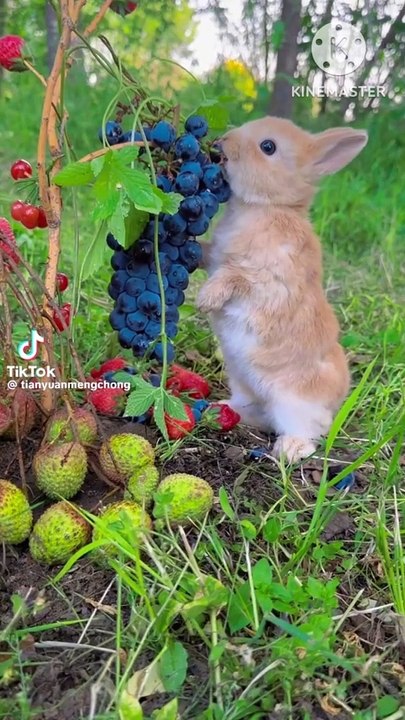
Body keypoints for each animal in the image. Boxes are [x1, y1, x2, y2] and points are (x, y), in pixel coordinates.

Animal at [197, 116, 368, 463]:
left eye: (268, 147)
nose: (220, 145)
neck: (267, 207)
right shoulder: (215, 256)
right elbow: (207, 254)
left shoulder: (269, 278)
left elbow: (233, 277)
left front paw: (206, 299)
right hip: (244, 384)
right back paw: (218, 410)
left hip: (294, 402)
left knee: (309, 431)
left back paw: (289, 450)